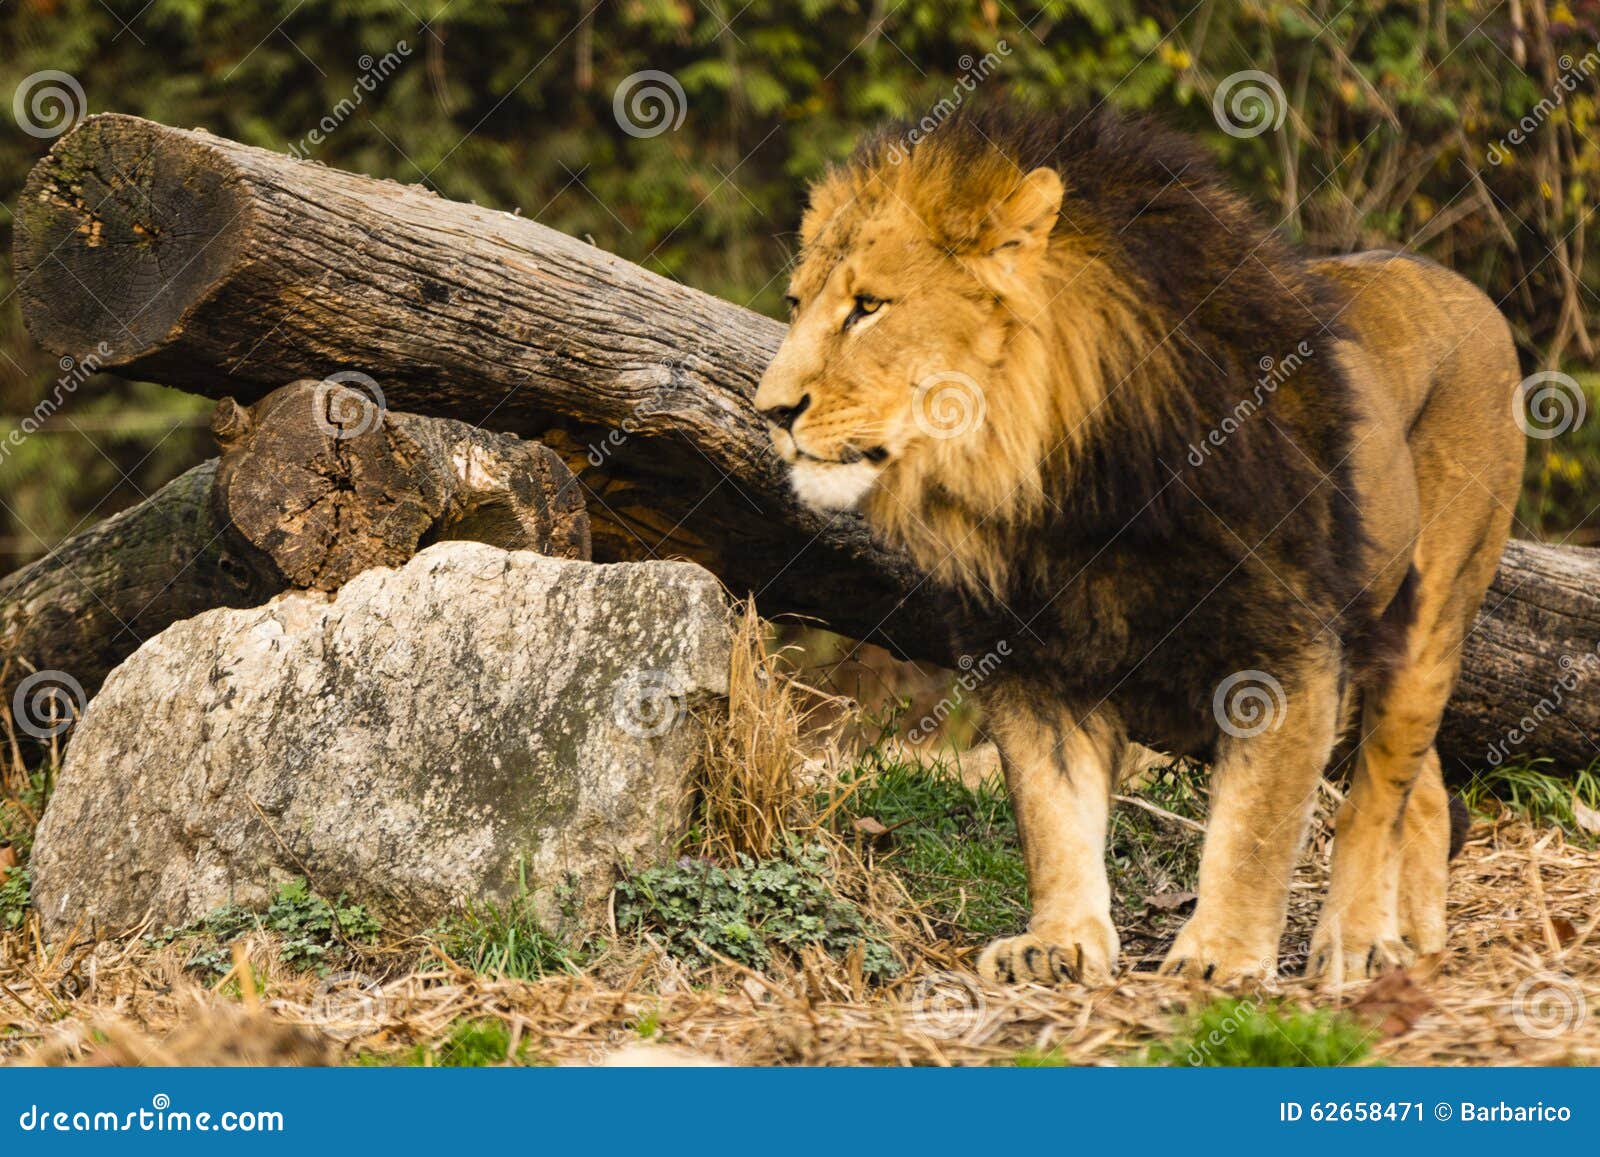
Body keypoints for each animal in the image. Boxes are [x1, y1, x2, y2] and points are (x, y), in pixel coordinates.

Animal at [753, 105, 1524, 986]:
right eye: (797, 301)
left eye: (869, 306)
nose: (771, 410)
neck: (1068, 490)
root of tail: (1465, 289)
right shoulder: (1031, 660)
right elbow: (1053, 814)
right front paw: (1058, 943)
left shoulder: (1286, 648)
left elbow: (1255, 829)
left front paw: (1220, 956)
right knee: (1423, 789)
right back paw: (1413, 937)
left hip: (1428, 619)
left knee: (1381, 790)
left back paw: (1359, 941)